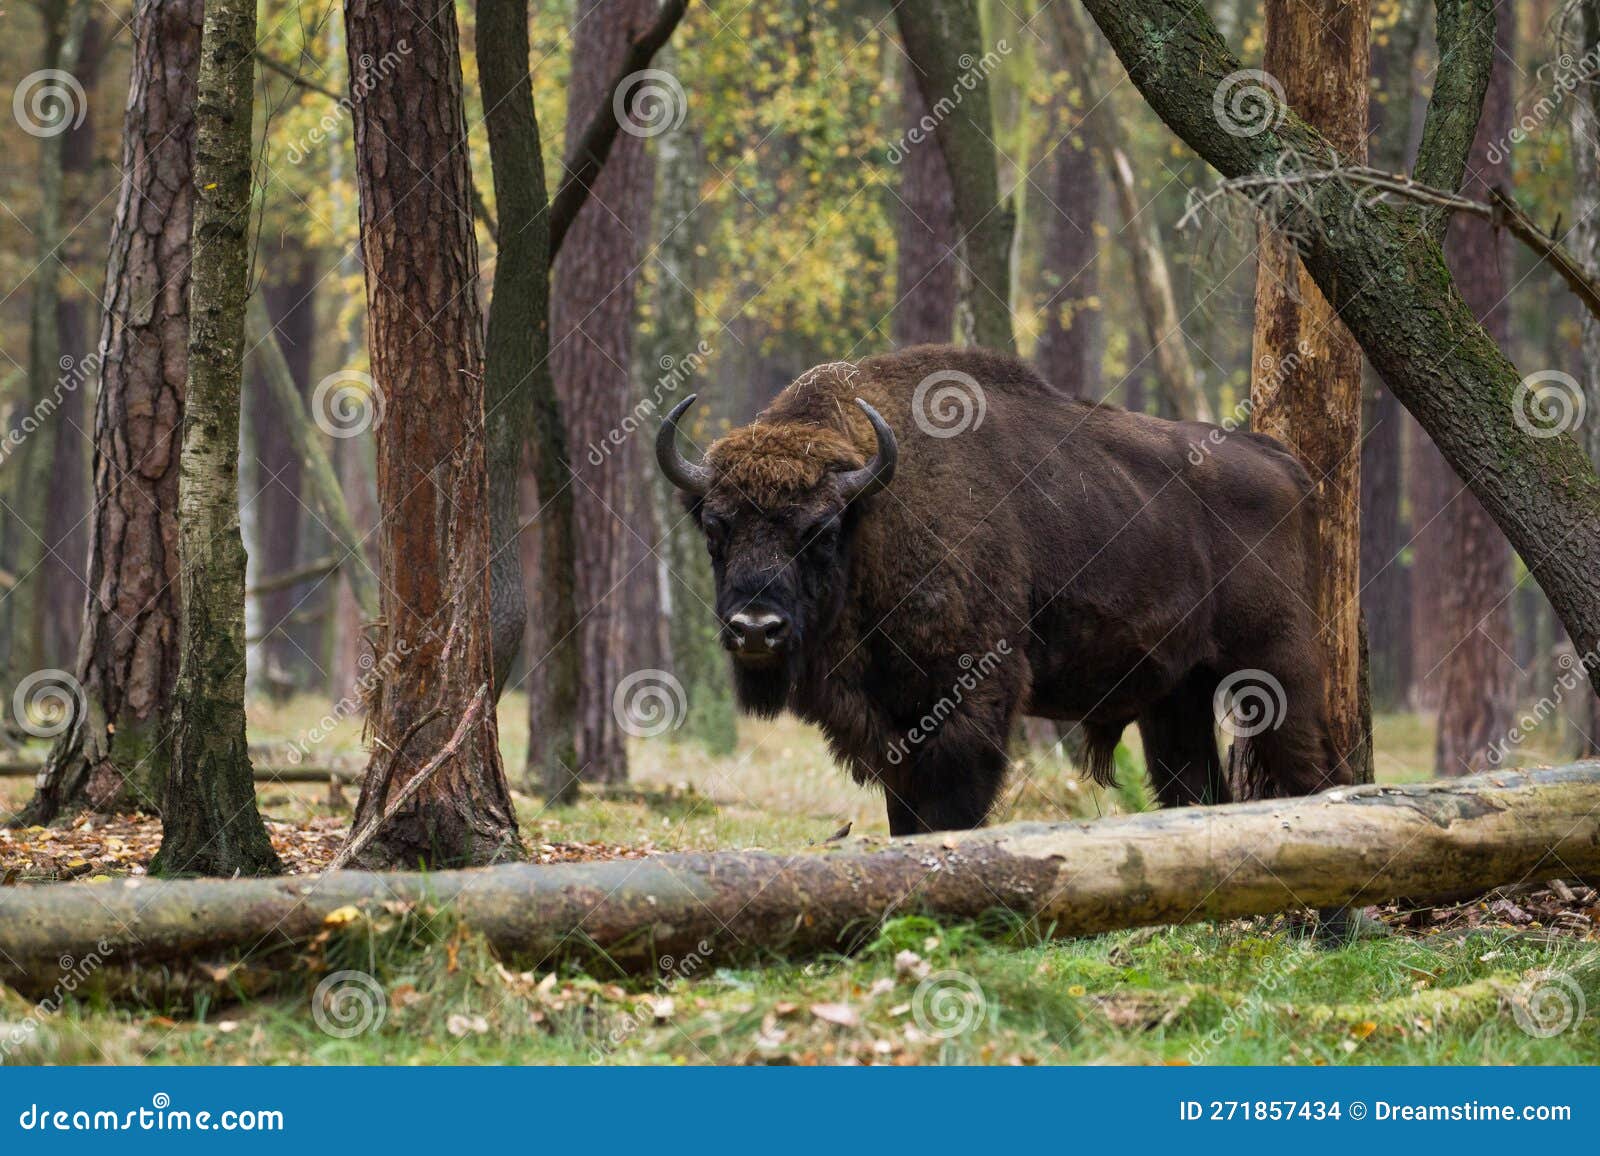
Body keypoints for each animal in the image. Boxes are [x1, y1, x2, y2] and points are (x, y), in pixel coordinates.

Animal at [657, 346, 1349, 836]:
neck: (876, 512)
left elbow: (950, 812)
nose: (755, 631)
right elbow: (906, 818)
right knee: (1196, 789)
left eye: (820, 531)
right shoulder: (895, 723)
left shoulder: (970, 700)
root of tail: (1287, 468)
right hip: (1177, 693)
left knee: (1311, 774)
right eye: (715, 527)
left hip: (1275, 668)